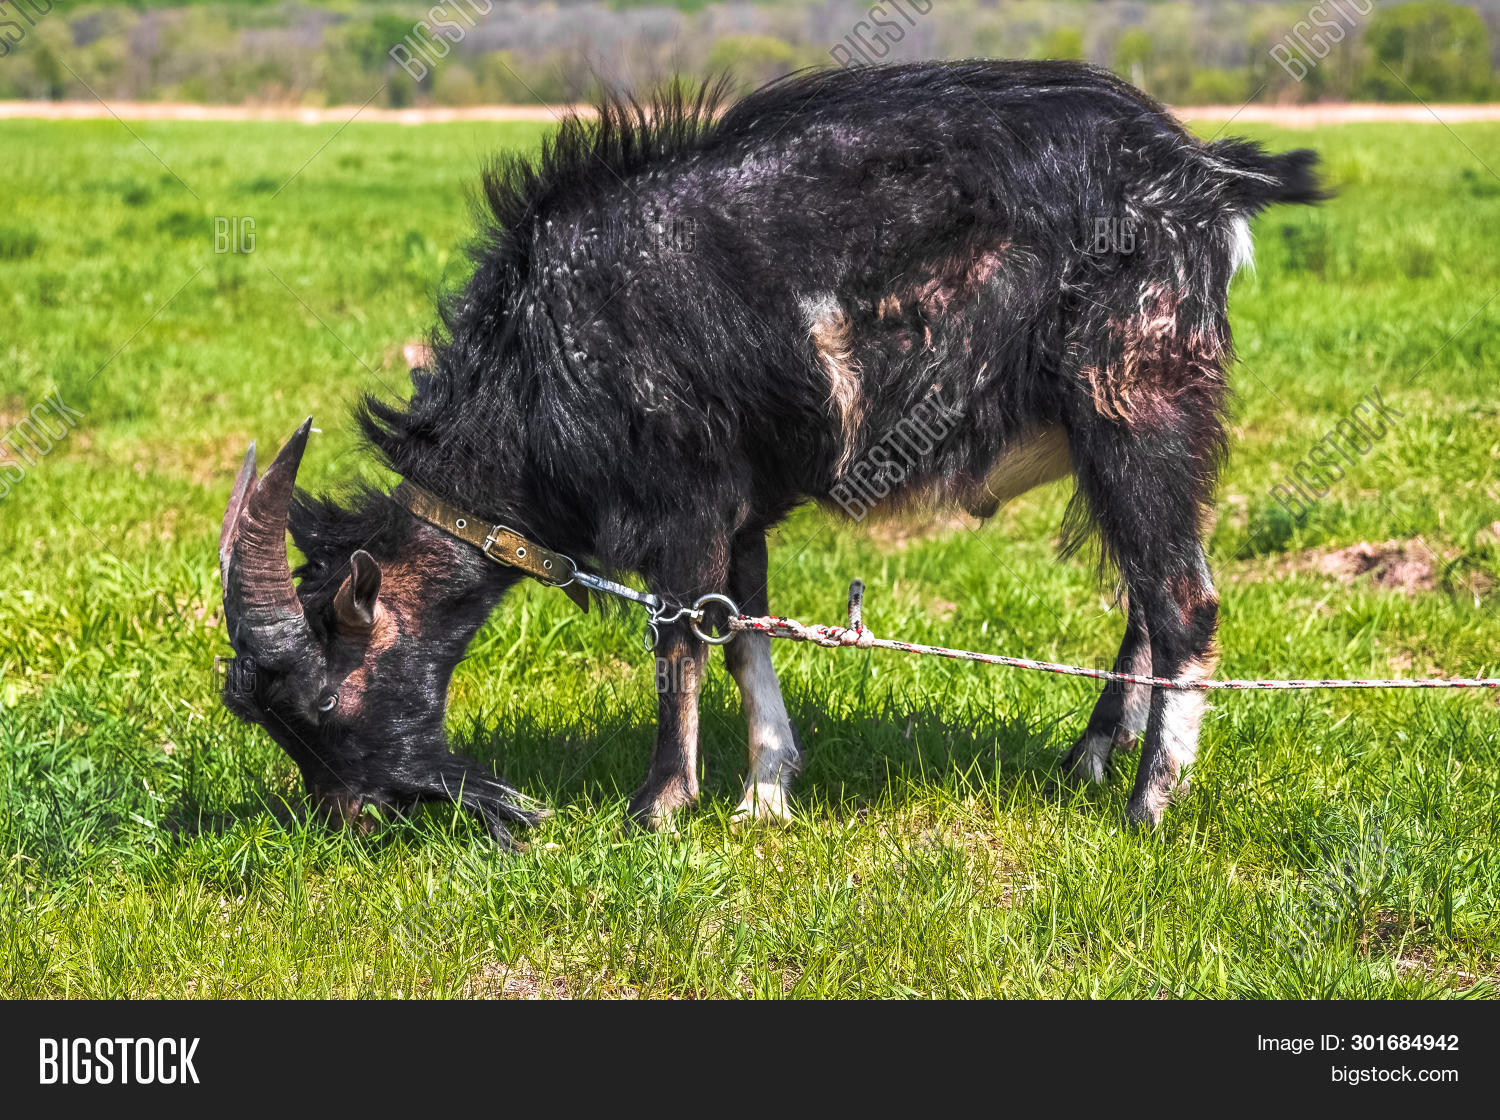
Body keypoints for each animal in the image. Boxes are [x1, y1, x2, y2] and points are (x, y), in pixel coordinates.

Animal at [219, 61, 1325, 842]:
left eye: (323, 695)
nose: (354, 823)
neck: (547, 347)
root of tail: (1206, 175)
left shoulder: (685, 496)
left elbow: (678, 638)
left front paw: (660, 807)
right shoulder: (740, 506)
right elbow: (743, 625)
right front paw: (766, 794)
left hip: (1137, 396)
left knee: (1185, 600)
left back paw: (1149, 808)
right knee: (1147, 589)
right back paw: (1092, 758)